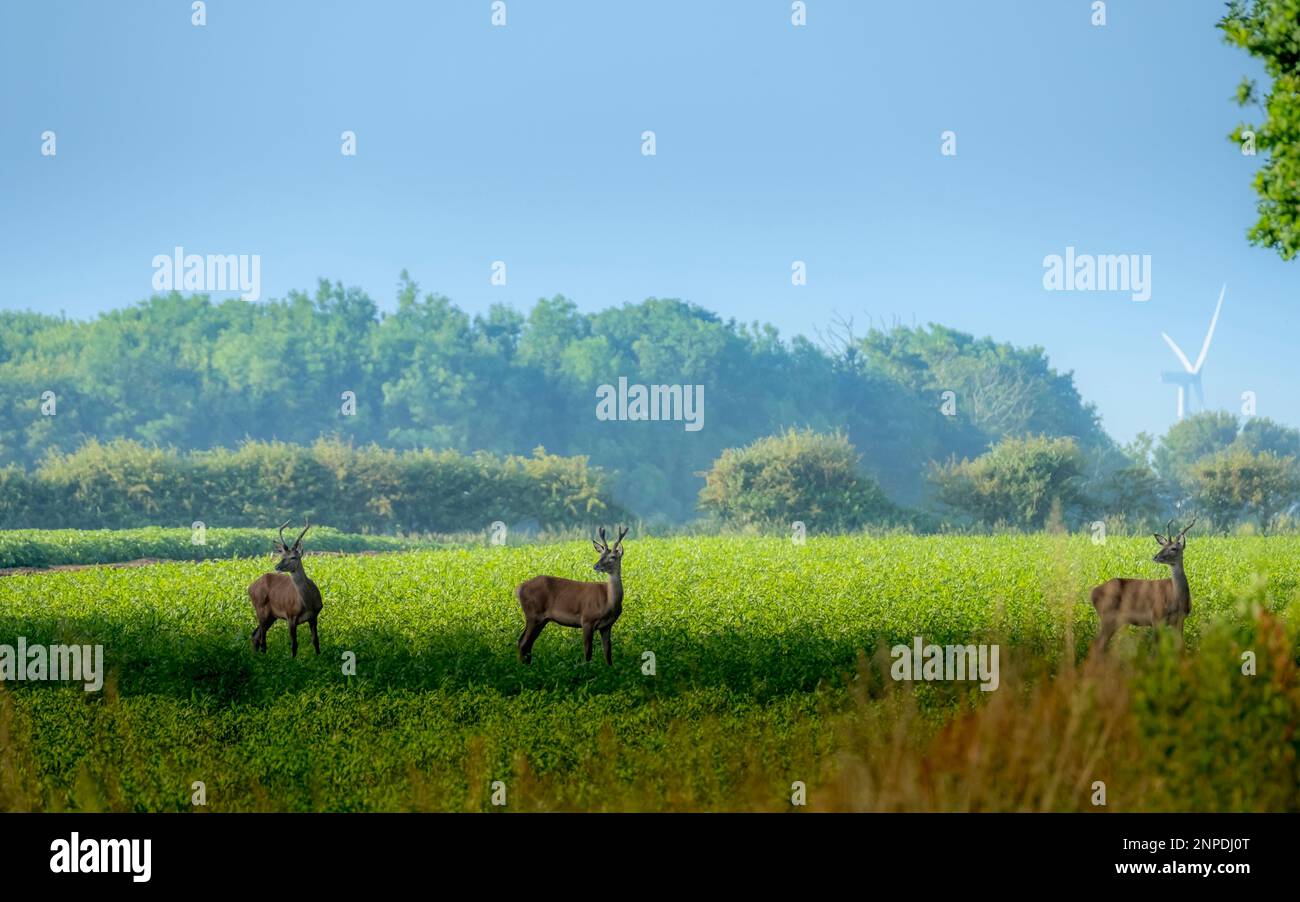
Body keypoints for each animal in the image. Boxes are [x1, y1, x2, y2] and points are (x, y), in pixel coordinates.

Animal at [248, 520, 322, 657]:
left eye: (293, 557)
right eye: (282, 556)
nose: (277, 566)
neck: (307, 603)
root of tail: (250, 588)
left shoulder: (314, 615)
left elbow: (316, 640)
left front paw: (319, 658)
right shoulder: (290, 615)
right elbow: (294, 644)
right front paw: (292, 660)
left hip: (272, 616)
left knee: (256, 635)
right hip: (260, 609)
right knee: (262, 638)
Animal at [516, 526, 628, 665]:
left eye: (612, 557)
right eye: (601, 555)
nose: (596, 566)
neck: (609, 602)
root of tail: (519, 588)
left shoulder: (607, 626)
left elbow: (608, 654)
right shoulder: (587, 619)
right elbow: (588, 652)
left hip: (541, 619)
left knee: (527, 643)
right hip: (533, 614)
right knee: (522, 643)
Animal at [1090, 517, 1196, 654]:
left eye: (1174, 548)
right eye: (1163, 545)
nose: (1155, 556)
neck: (1177, 598)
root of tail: (1092, 593)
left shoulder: (1180, 620)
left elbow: (1181, 648)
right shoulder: (1156, 616)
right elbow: (1156, 649)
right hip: (1107, 616)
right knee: (1096, 645)